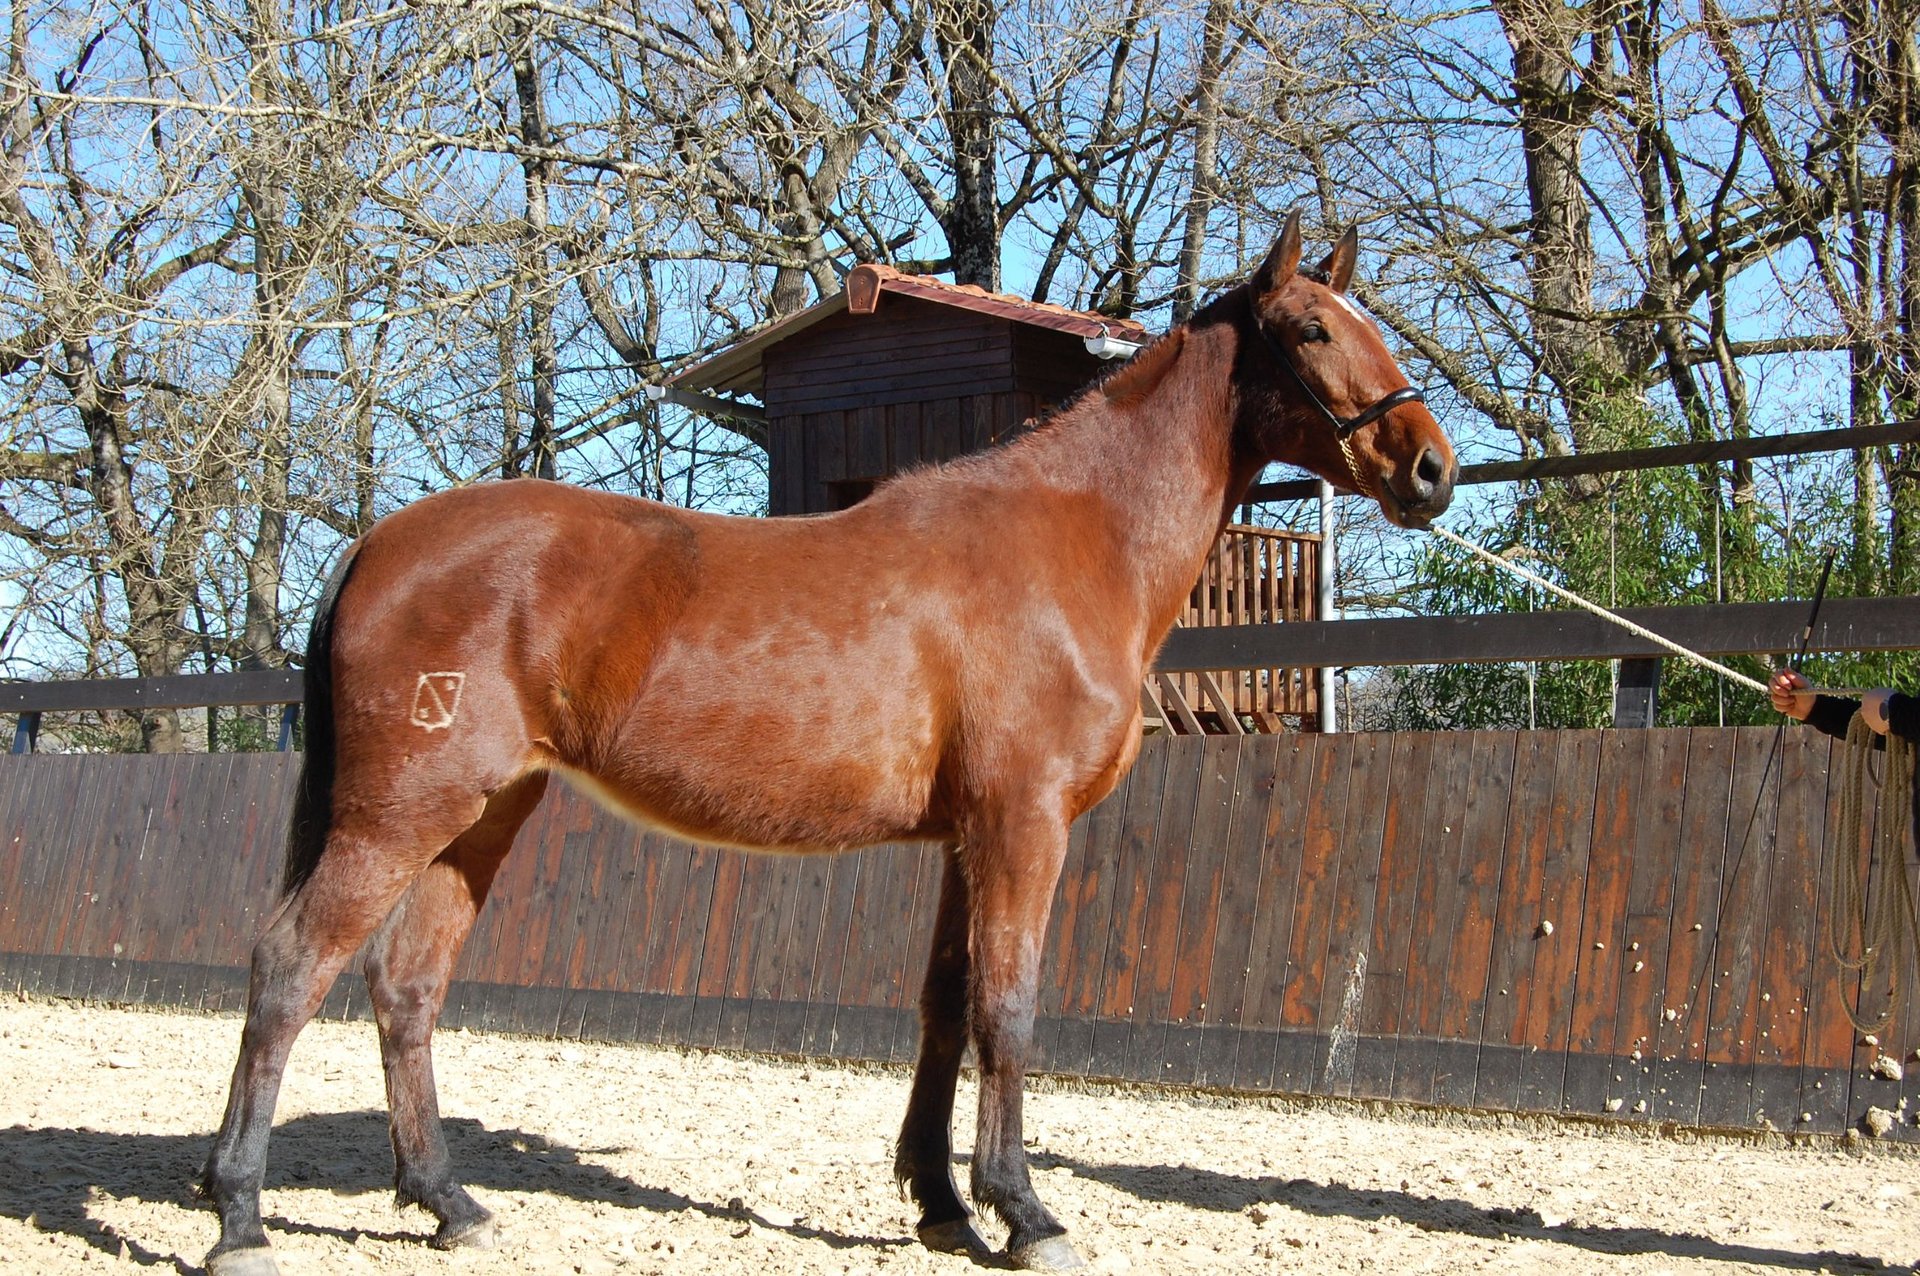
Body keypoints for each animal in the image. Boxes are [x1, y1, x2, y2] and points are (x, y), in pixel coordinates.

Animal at [198, 211, 1456, 1275]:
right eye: (1310, 328)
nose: (1432, 466)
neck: (1069, 539)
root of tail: (378, 544)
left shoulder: (965, 837)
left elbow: (947, 1003)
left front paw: (943, 1204)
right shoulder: (1022, 824)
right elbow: (1008, 1007)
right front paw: (1025, 1210)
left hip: (480, 816)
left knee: (405, 986)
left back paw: (446, 1201)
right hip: (399, 812)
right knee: (290, 967)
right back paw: (240, 1217)